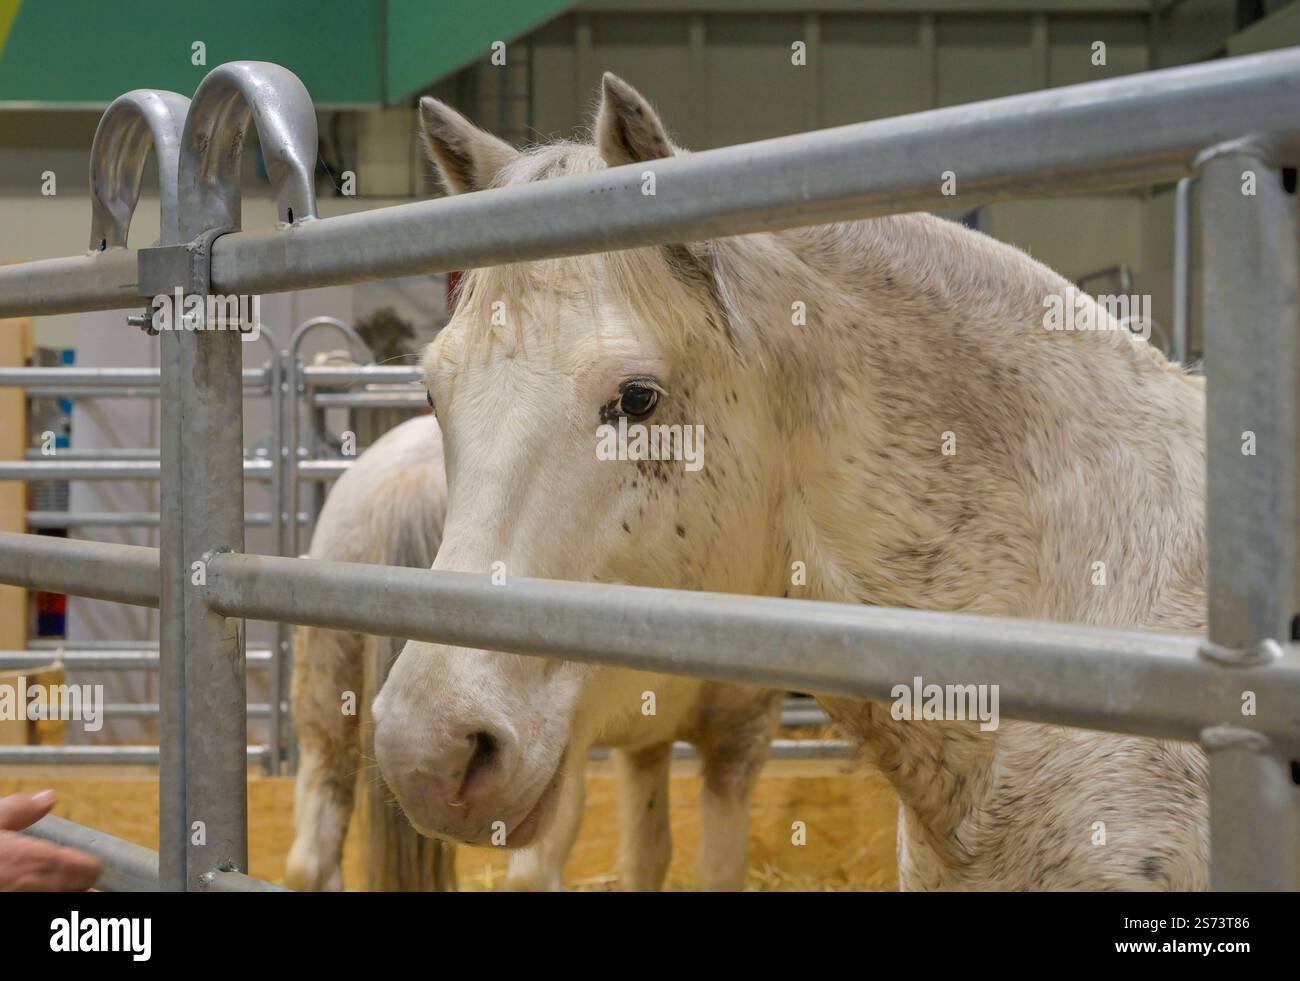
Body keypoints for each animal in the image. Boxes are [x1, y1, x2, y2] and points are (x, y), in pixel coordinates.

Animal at [285, 413, 782, 891]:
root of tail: (417, 471)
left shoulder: (653, 745)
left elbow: (647, 858)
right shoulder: (739, 737)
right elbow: (716, 869)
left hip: (326, 716)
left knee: (311, 859)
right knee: (533, 875)